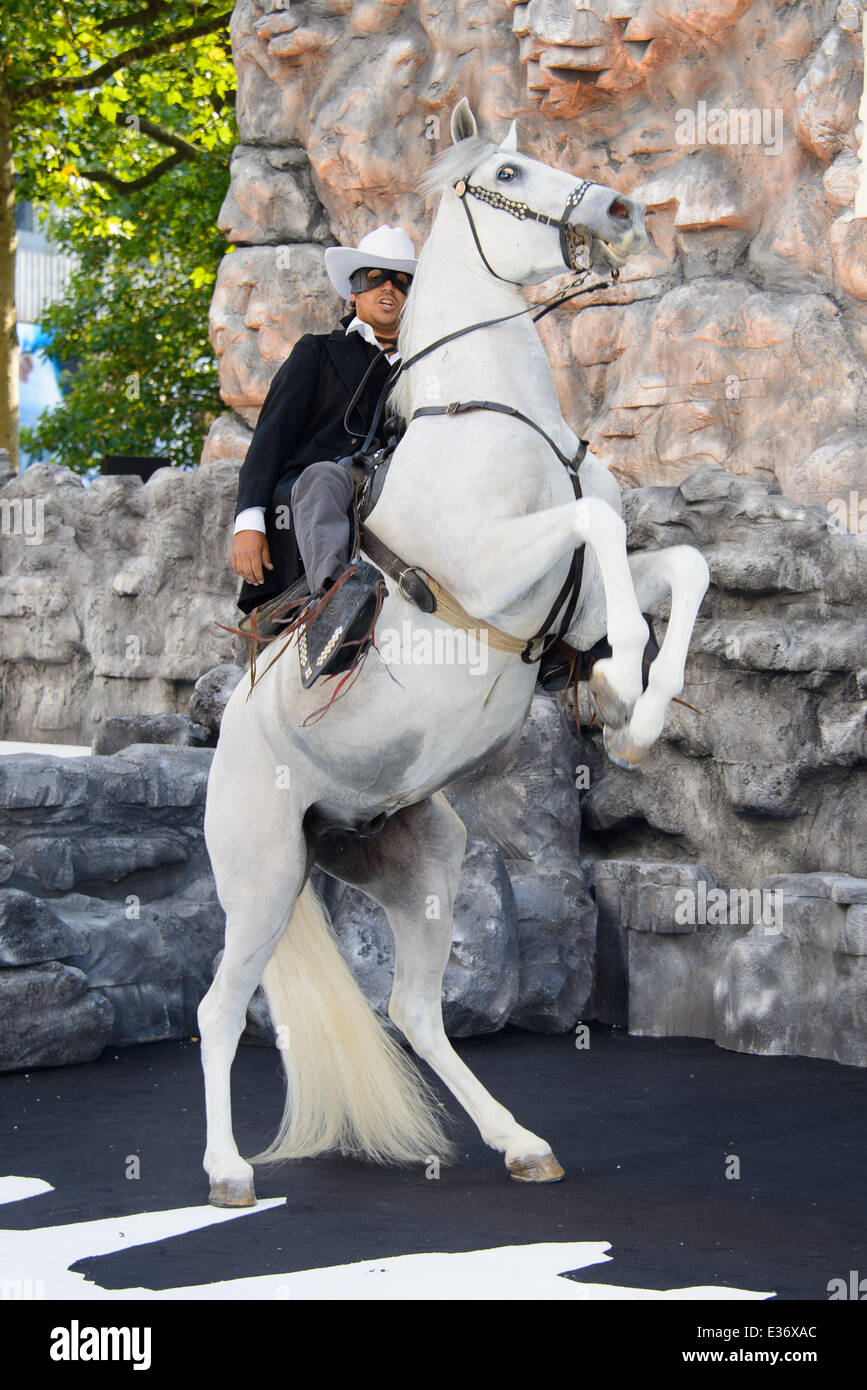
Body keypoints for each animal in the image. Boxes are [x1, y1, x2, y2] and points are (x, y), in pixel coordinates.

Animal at [198, 98, 710, 1206]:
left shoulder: (564, 600)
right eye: (511, 171)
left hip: (417, 861)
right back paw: (225, 1171)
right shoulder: (493, 567)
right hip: (259, 879)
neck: (502, 417)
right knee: (219, 1008)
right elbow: (600, 532)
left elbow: (677, 567)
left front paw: (635, 712)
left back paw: (520, 1142)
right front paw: (624, 682)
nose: (617, 209)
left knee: (416, 1011)